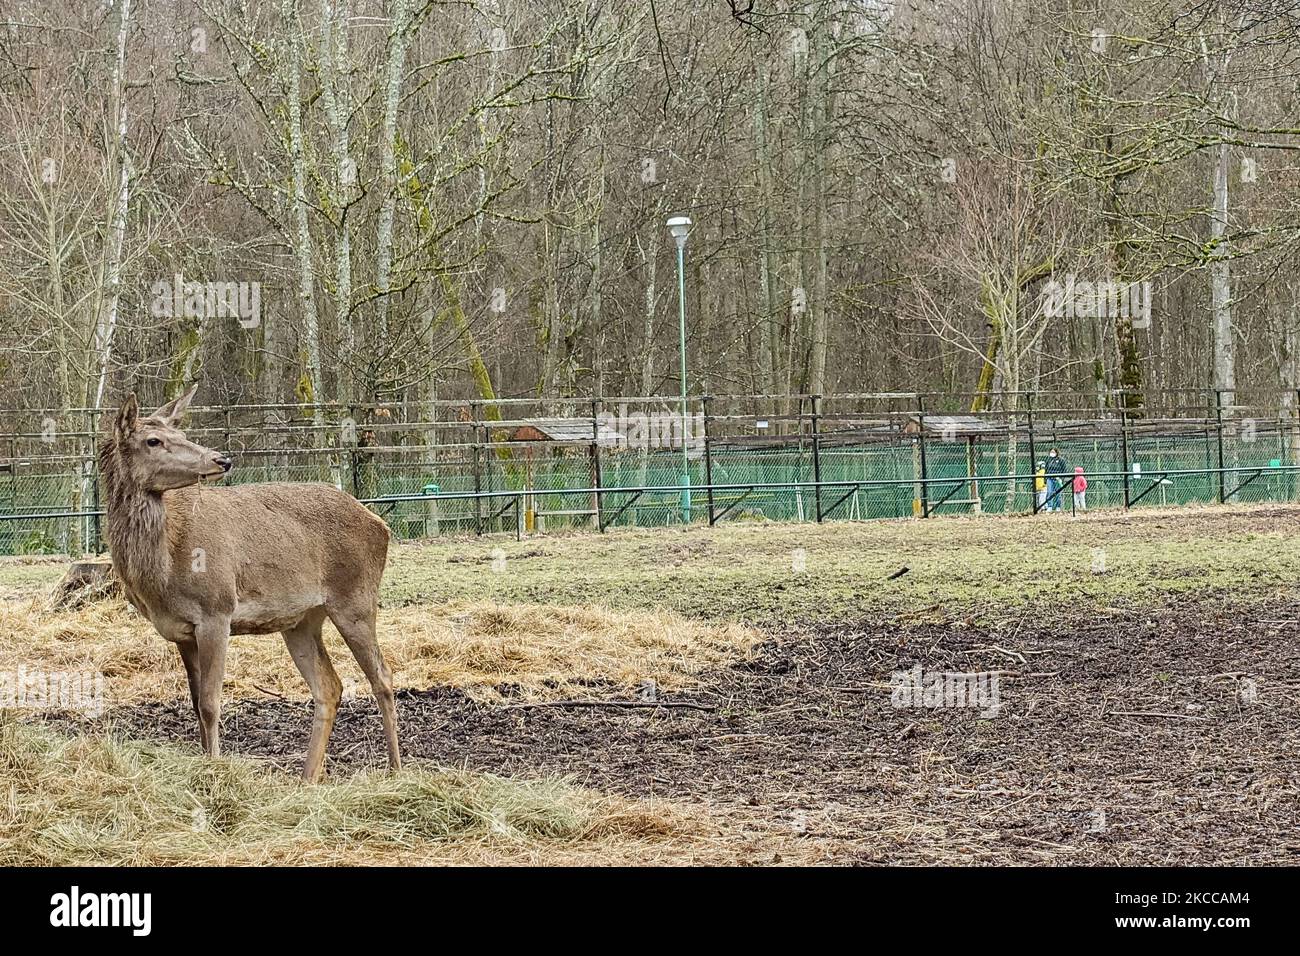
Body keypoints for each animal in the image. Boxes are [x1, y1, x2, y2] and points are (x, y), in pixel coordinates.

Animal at [99, 384, 400, 782]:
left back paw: (397, 769)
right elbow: (194, 703)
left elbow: (210, 703)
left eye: (181, 433)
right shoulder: (181, 631)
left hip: (356, 599)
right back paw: (308, 777)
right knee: (329, 686)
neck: (162, 572)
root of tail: (382, 525)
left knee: (382, 676)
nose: (221, 460)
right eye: (153, 440)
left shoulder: (216, 610)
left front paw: (216, 770)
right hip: (302, 620)